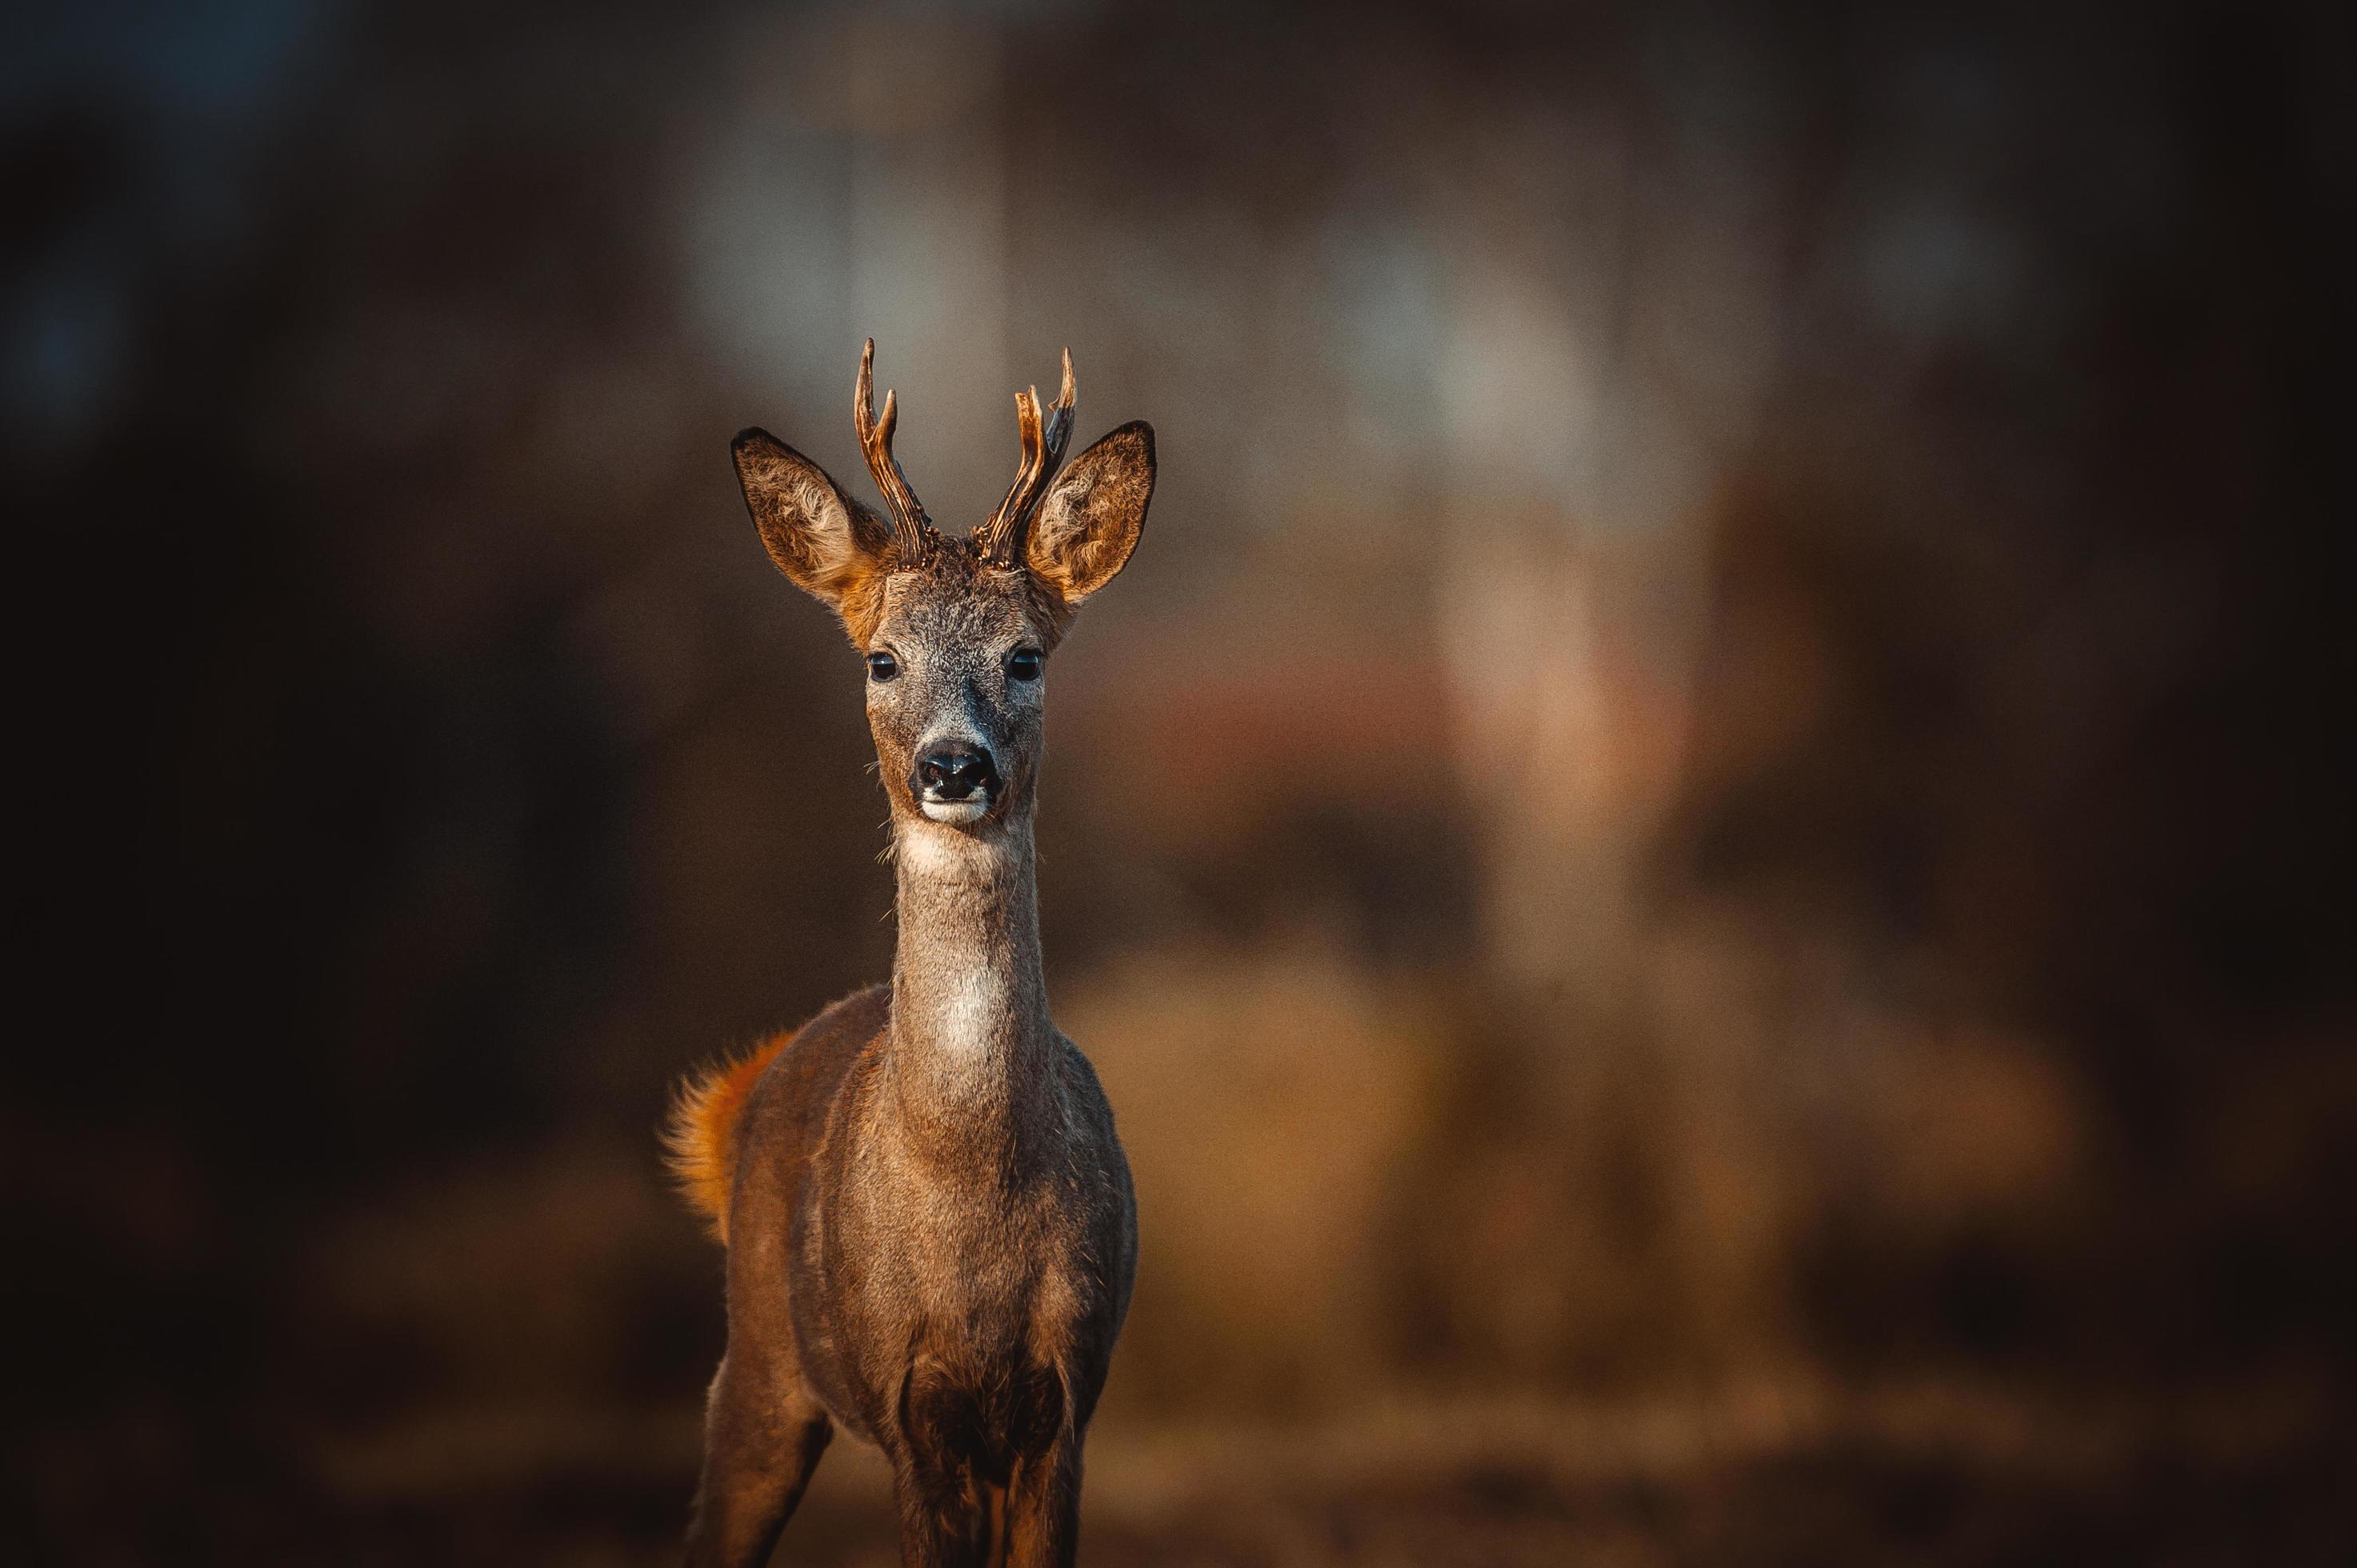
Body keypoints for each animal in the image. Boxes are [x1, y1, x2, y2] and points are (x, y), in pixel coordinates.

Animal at [664, 340, 1151, 1567]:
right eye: (882, 660)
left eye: (1025, 657)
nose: (952, 765)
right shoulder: (904, 1403)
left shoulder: (1068, 1398)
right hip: (761, 1359)